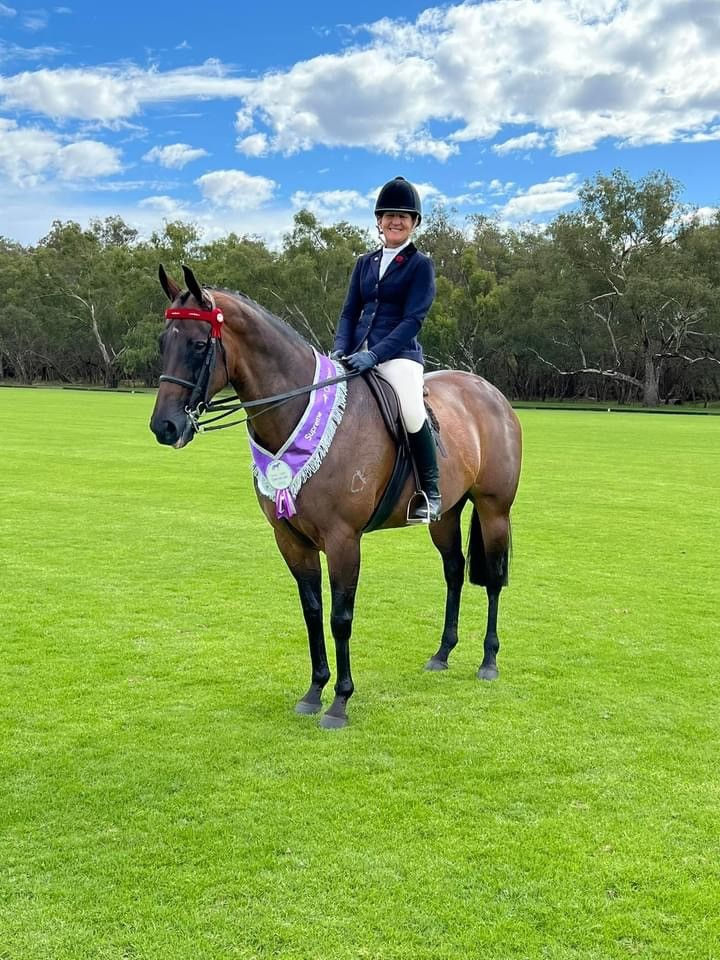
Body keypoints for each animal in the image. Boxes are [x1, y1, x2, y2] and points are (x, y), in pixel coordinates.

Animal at [150, 265, 522, 728]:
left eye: (199, 344)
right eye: (162, 342)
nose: (164, 427)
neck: (296, 410)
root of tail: (489, 391)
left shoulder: (344, 540)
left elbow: (340, 617)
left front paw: (340, 702)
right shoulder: (291, 538)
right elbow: (311, 612)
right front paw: (314, 691)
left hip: (494, 510)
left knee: (493, 578)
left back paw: (489, 661)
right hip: (445, 514)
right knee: (454, 570)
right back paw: (442, 653)